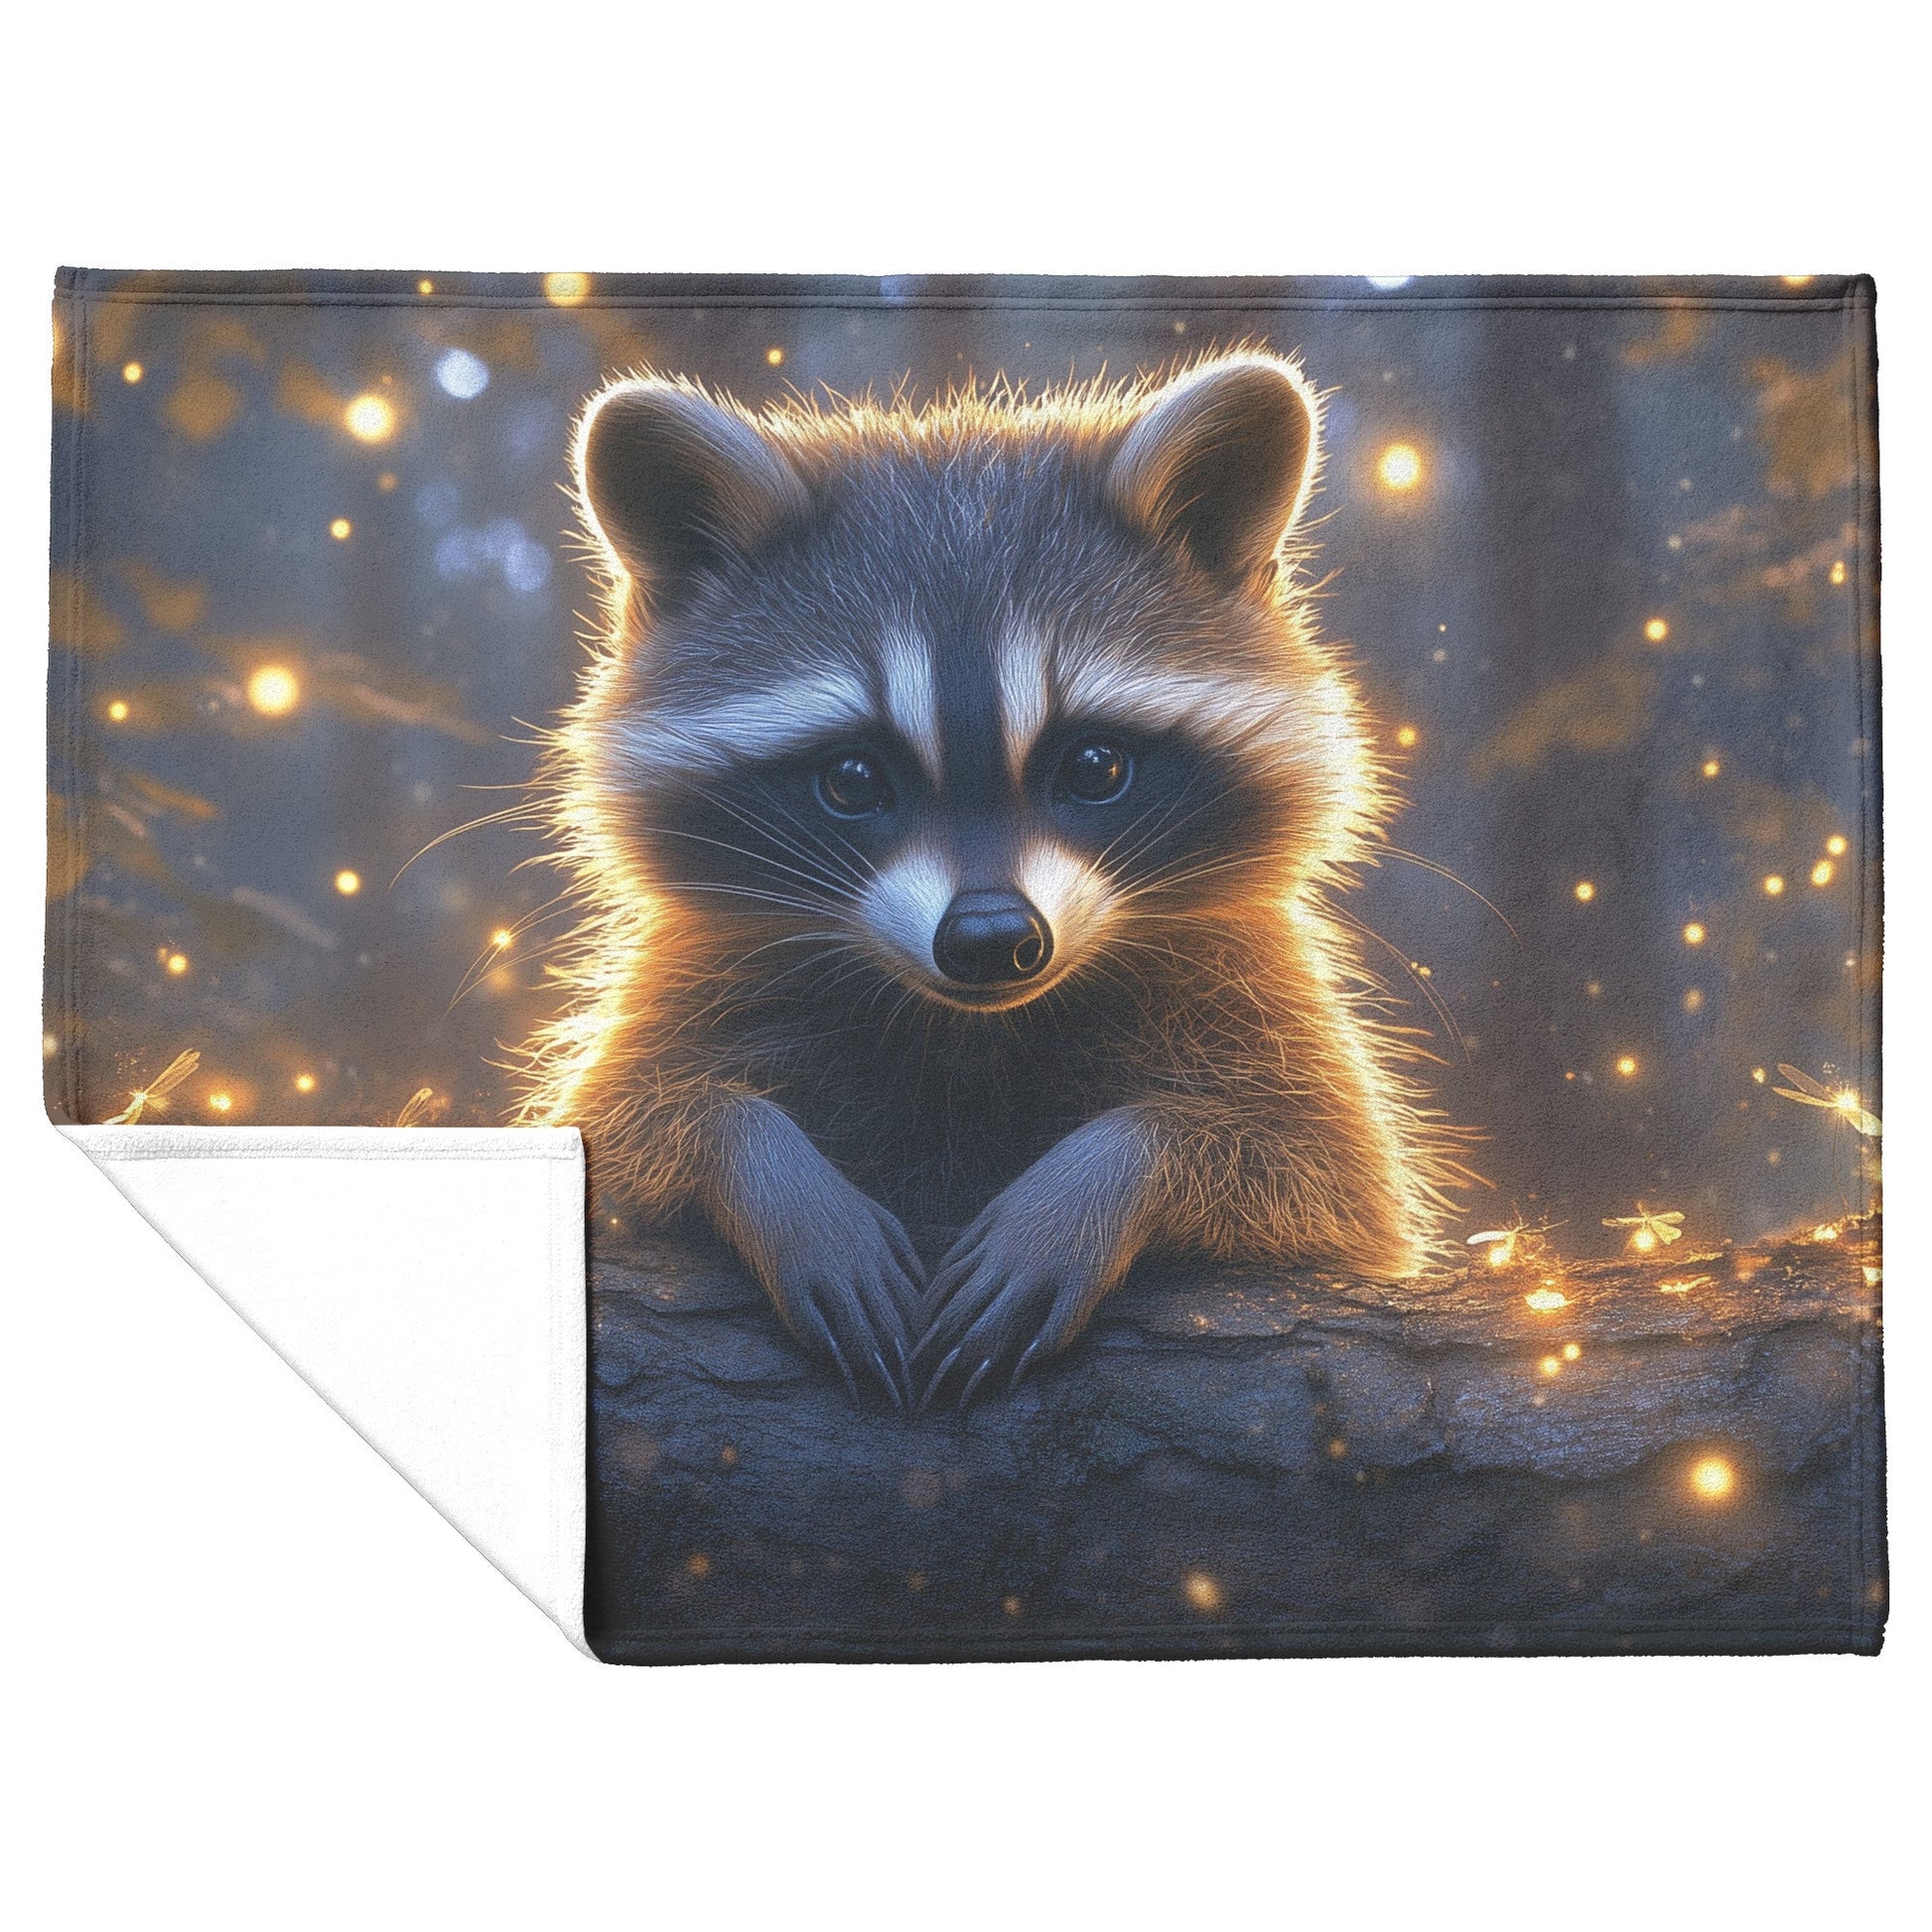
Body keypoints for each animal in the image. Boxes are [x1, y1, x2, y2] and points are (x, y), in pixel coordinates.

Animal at [521, 351, 1463, 1410]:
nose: (988, 939)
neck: (970, 1028)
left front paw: (1101, 1181)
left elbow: (1329, 1180)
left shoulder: (1255, 1000)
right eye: (853, 780)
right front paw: (770, 1173)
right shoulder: (698, 987)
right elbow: (638, 1123)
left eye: (1094, 767)